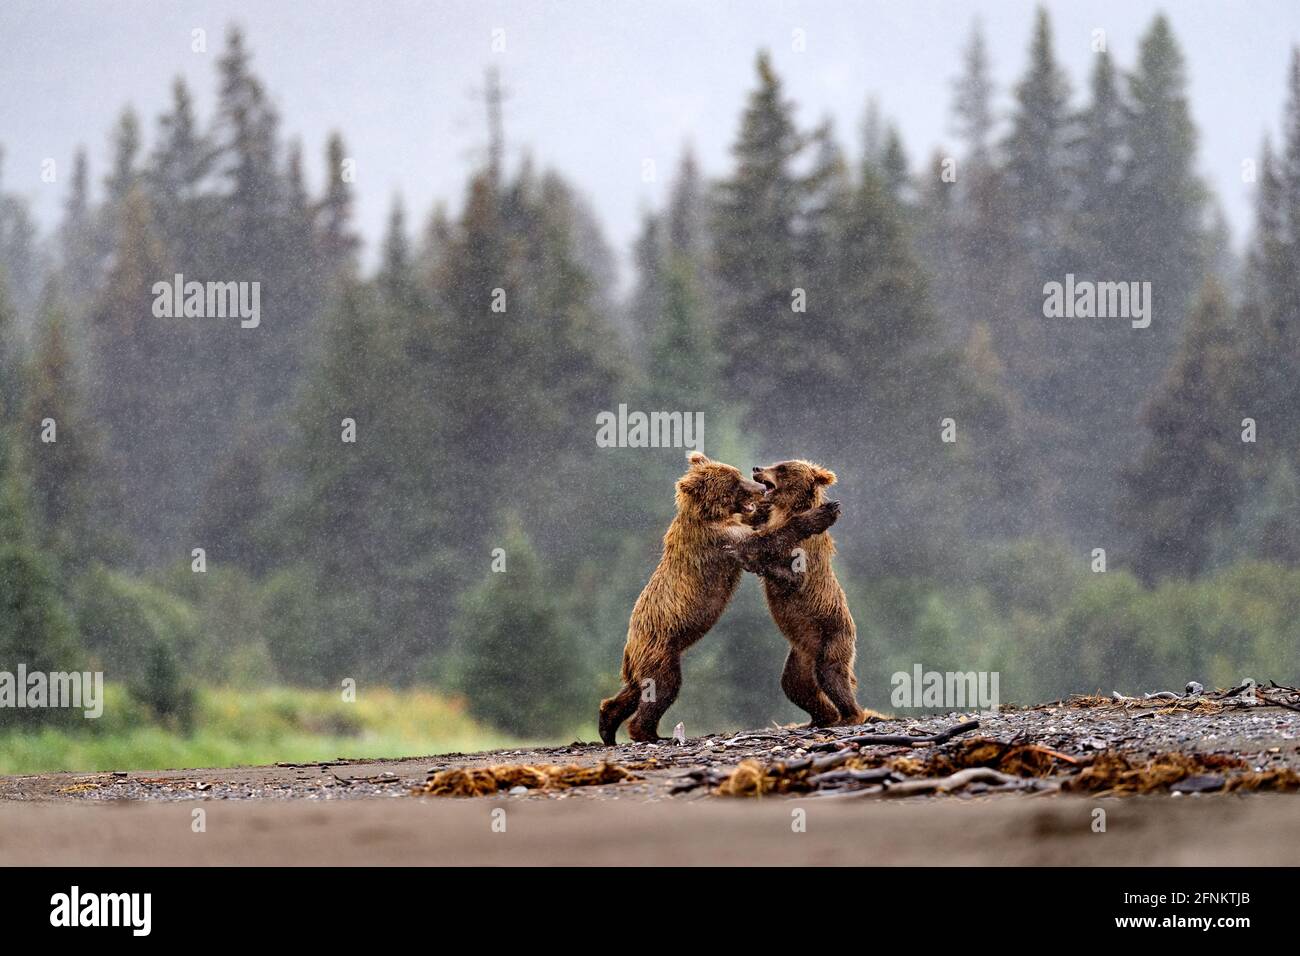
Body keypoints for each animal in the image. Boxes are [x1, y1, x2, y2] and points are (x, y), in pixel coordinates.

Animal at [598, 452, 841, 744]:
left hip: (642, 658)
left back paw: (607, 725)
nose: (758, 488)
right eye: (735, 483)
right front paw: (820, 514)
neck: (710, 514)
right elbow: (760, 542)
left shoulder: (734, 525)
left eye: (738, 474)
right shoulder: (718, 538)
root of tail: (630, 643)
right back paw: (648, 733)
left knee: (634, 690)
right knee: (662, 687)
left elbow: (757, 528)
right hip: (660, 648)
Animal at [729, 459, 867, 727]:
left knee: (831, 674)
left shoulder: (804, 555)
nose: (757, 468)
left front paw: (750, 560)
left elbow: (792, 577)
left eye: (782, 468)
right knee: (795, 687)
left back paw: (849, 716)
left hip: (832, 638)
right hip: (799, 659)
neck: (787, 510)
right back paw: (818, 719)